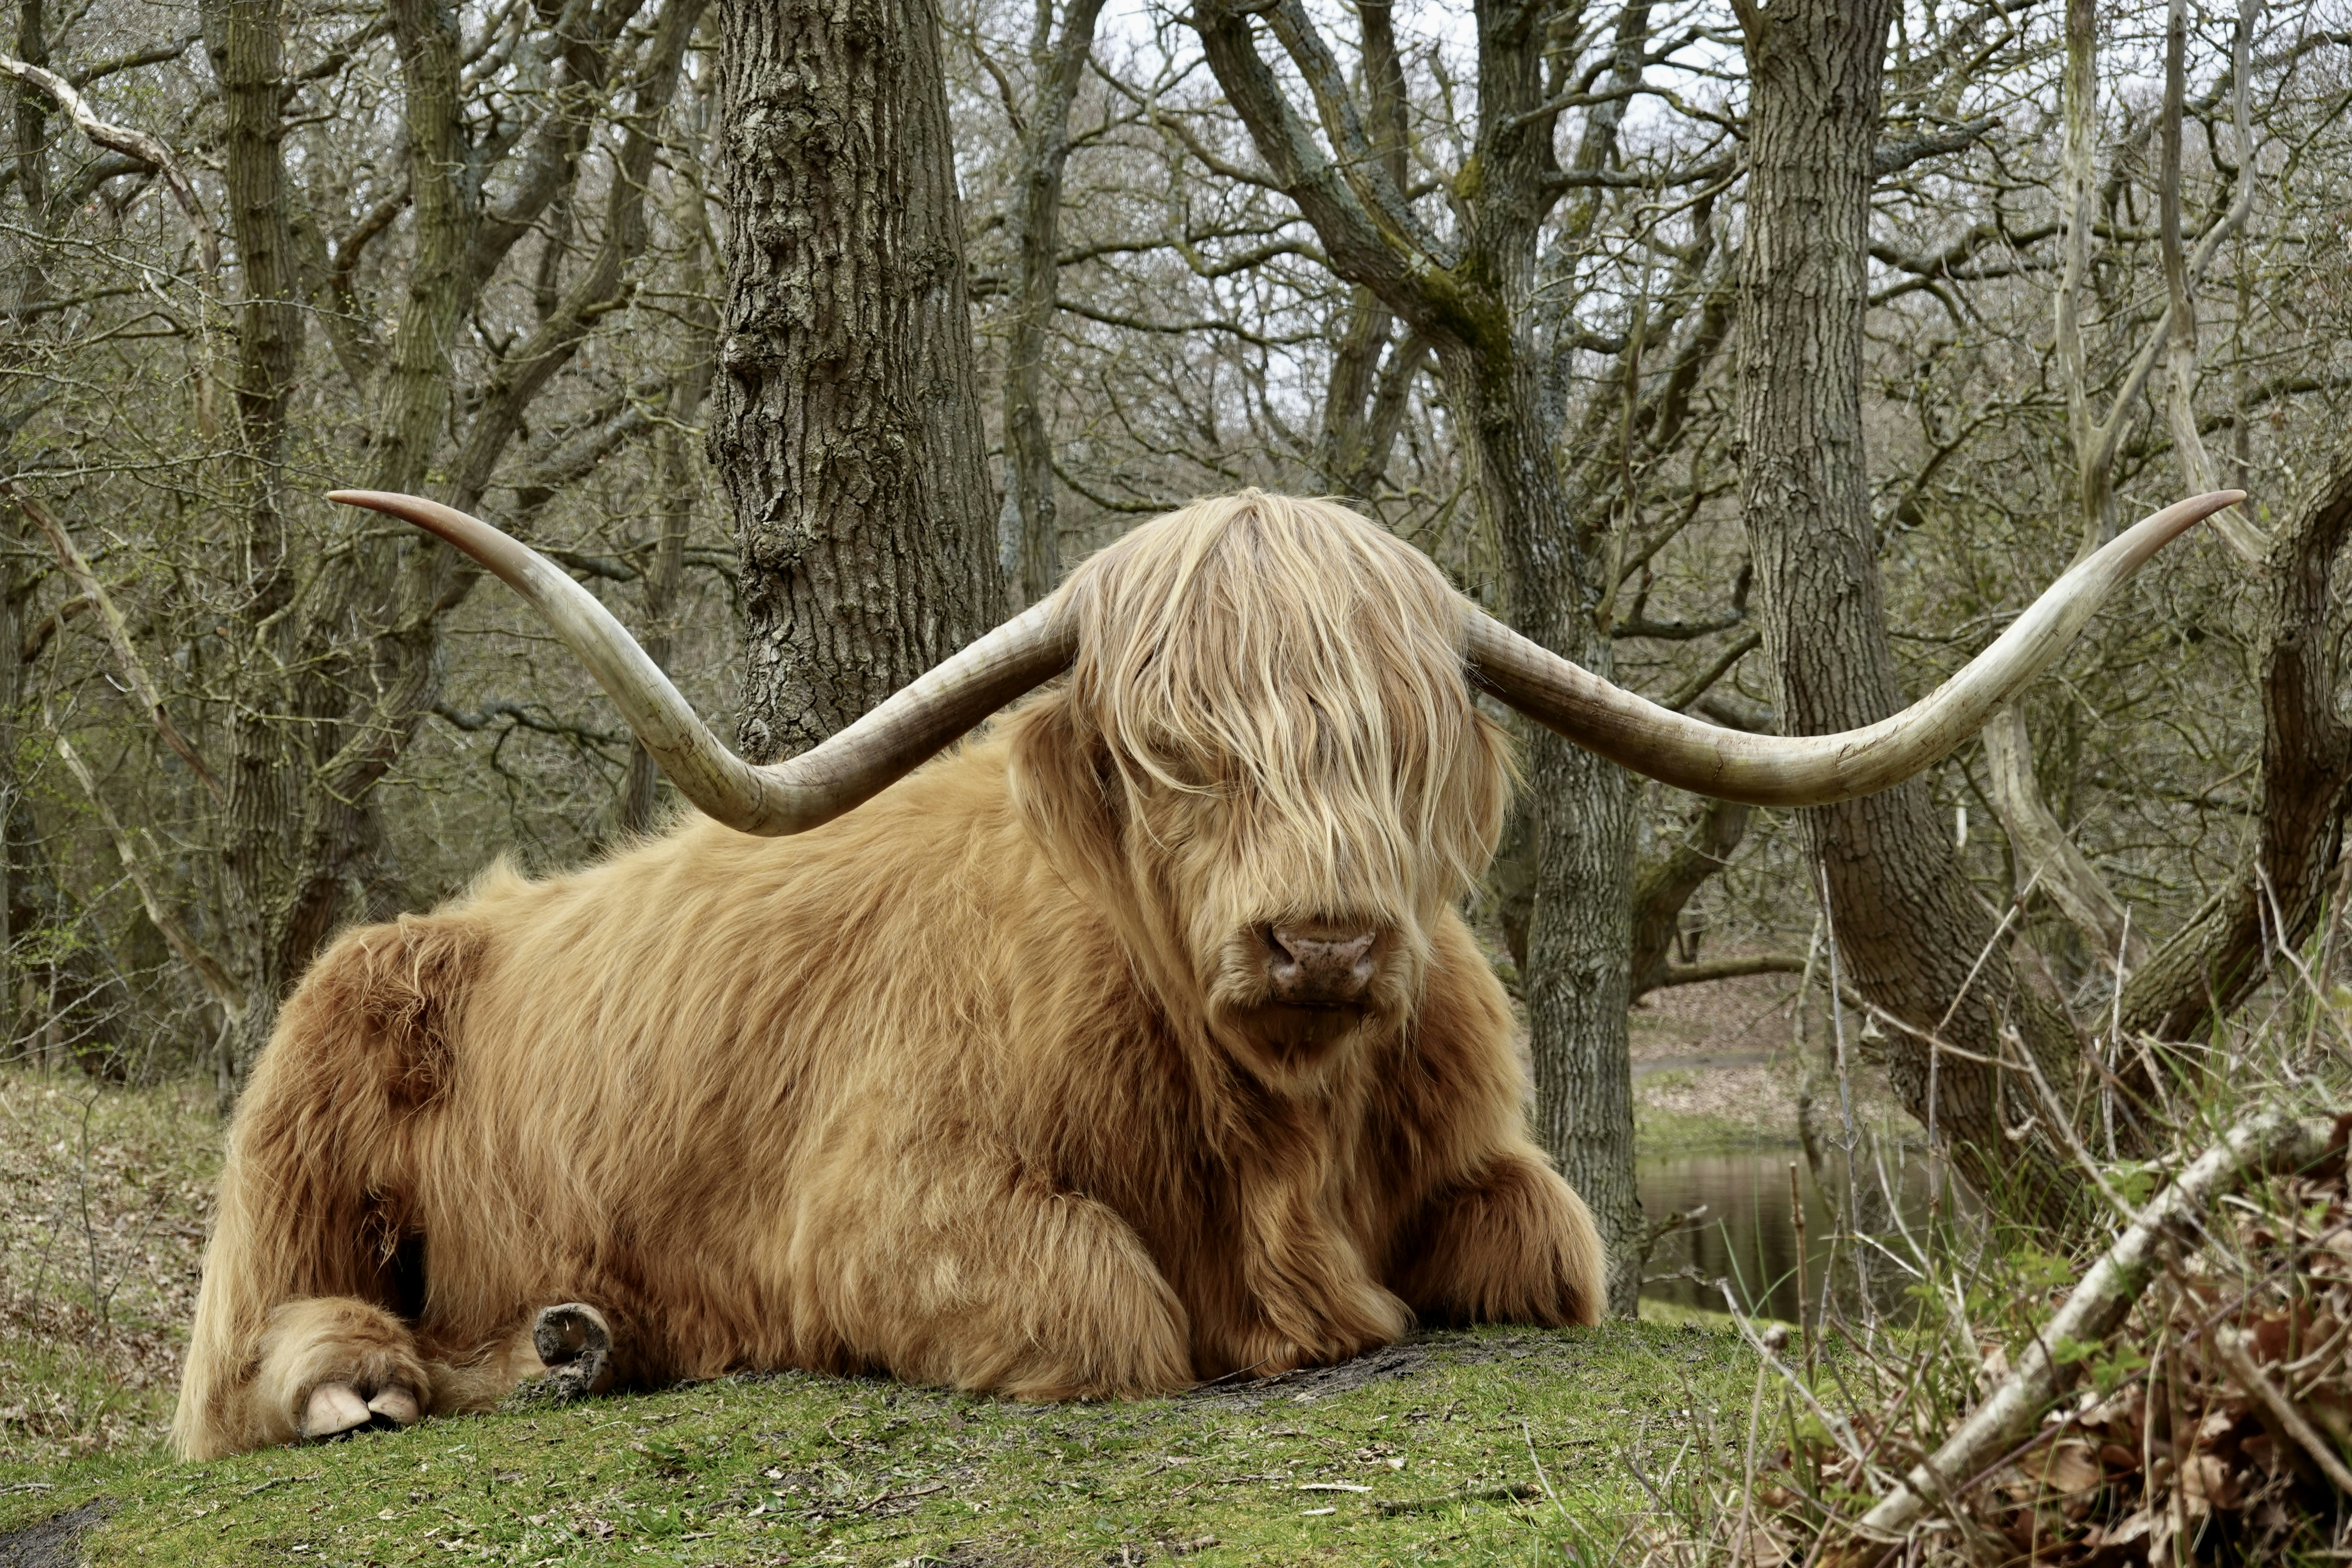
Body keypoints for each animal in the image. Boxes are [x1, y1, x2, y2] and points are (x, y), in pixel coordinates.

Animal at [171, 487, 2238, 1458]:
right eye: (1175, 752)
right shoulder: (884, 1204)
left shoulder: (1487, 1169)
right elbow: (1109, 1309)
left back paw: (573, 1340)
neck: (1275, 1133)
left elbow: (1552, 1243)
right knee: (243, 1361)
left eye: (1394, 741)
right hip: (300, 1111)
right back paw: (412, 1371)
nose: (1318, 930)